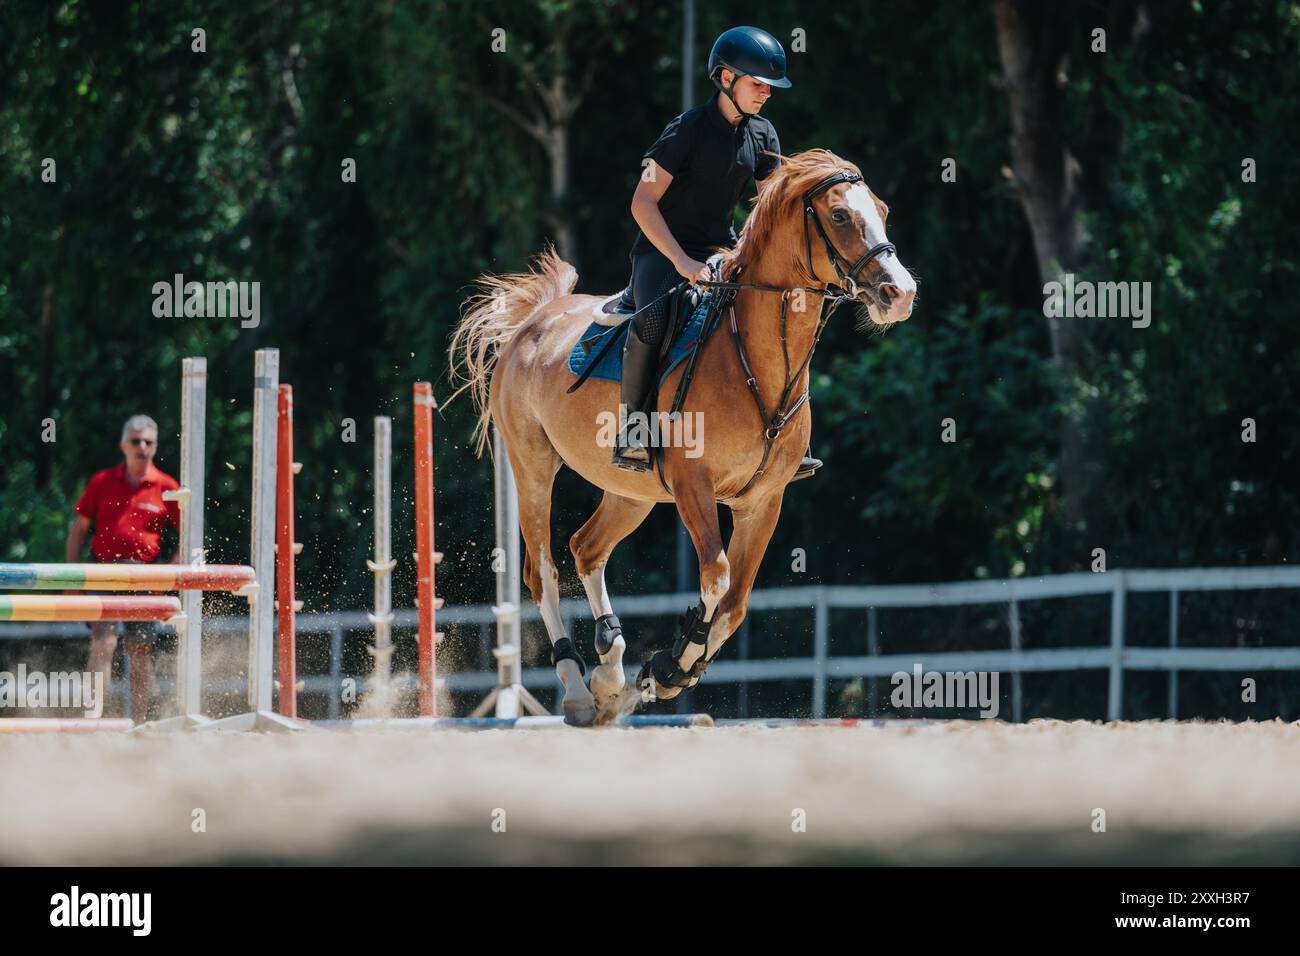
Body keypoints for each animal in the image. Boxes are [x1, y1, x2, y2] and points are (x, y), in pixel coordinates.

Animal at [449, 148, 916, 725]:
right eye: (840, 216)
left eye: (882, 210)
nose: (900, 294)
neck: (755, 360)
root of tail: (533, 321)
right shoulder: (694, 484)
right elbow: (716, 575)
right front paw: (672, 664)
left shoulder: (763, 502)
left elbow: (735, 603)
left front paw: (663, 672)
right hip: (533, 467)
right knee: (543, 571)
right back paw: (579, 687)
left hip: (632, 493)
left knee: (586, 548)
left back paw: (611, 670)